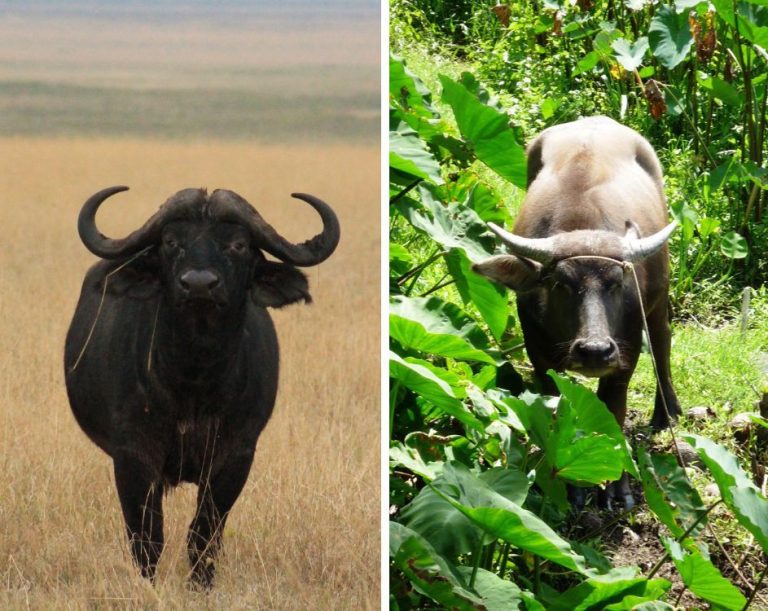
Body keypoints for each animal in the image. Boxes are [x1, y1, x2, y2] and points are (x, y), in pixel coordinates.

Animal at [64, 186, 339, 586]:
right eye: (171, 242)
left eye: (238, 245)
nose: (198, 284)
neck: (194, 379)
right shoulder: (132, 455)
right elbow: (146, 536)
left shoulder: (236, 455)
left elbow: (205, 535)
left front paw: (201, 585)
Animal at [473, 116, 681, 507]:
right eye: (561, 284)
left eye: (616, 283)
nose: (595, 351)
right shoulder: (539, 356)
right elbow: (558, 411)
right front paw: (571, 486)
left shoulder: (625, 354)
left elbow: (612, 411)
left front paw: (617, 488)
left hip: (659, 299)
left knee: (662, 339)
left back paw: (667, 412)